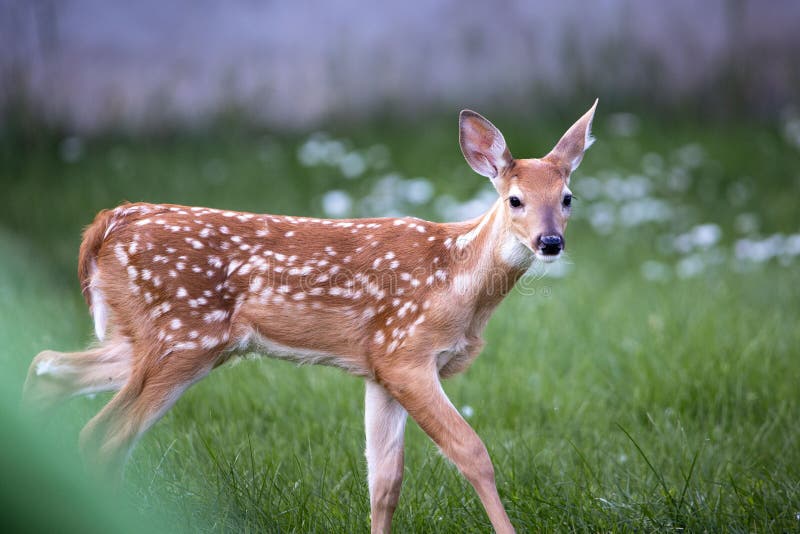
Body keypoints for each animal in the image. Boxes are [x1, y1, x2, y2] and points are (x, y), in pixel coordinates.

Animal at [23, 101, 597, 533]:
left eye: (568, 197)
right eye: (515, 199)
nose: (550, 242)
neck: (456, 280)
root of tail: (105, 226)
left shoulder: (378, 368)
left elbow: (384, 482)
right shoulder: (405, 352)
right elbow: (472, 452)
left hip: (146, 339)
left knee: (48, 366)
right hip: (181, 337)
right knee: (102, 436)